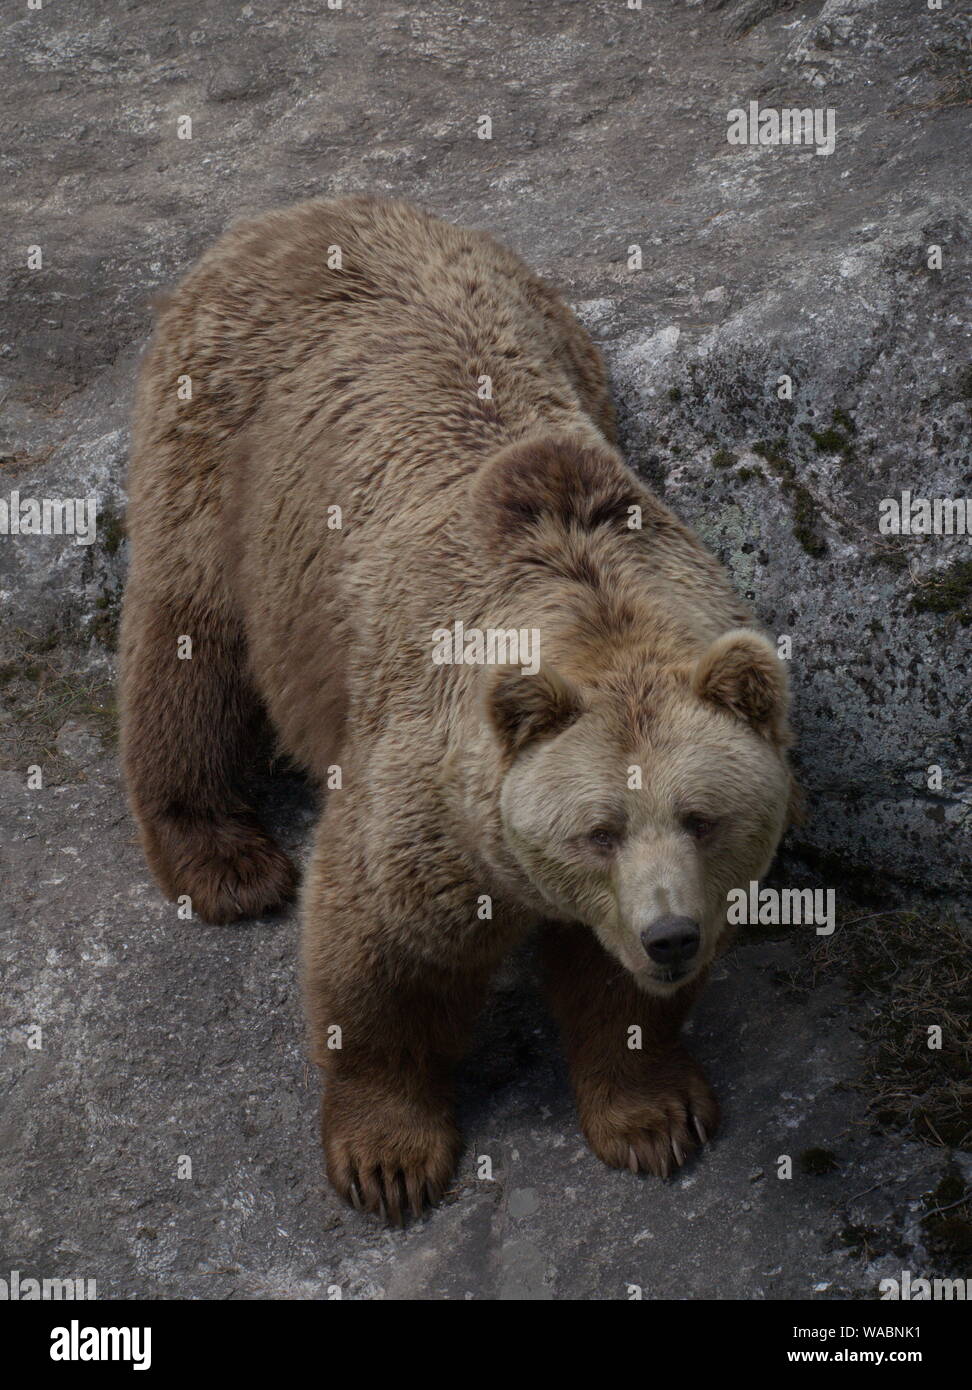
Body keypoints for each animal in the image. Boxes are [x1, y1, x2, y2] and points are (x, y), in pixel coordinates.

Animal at [120, 196, 797, 1221]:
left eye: (703, 817)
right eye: (598, 829)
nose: (669, 934)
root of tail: (302, 209)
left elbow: (618, 995)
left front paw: (654, 1115)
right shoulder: (431, 789)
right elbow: (384, 949)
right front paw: (388, 1157)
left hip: (563, 334)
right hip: (219, 447)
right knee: (188, 646)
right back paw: (222, 858)